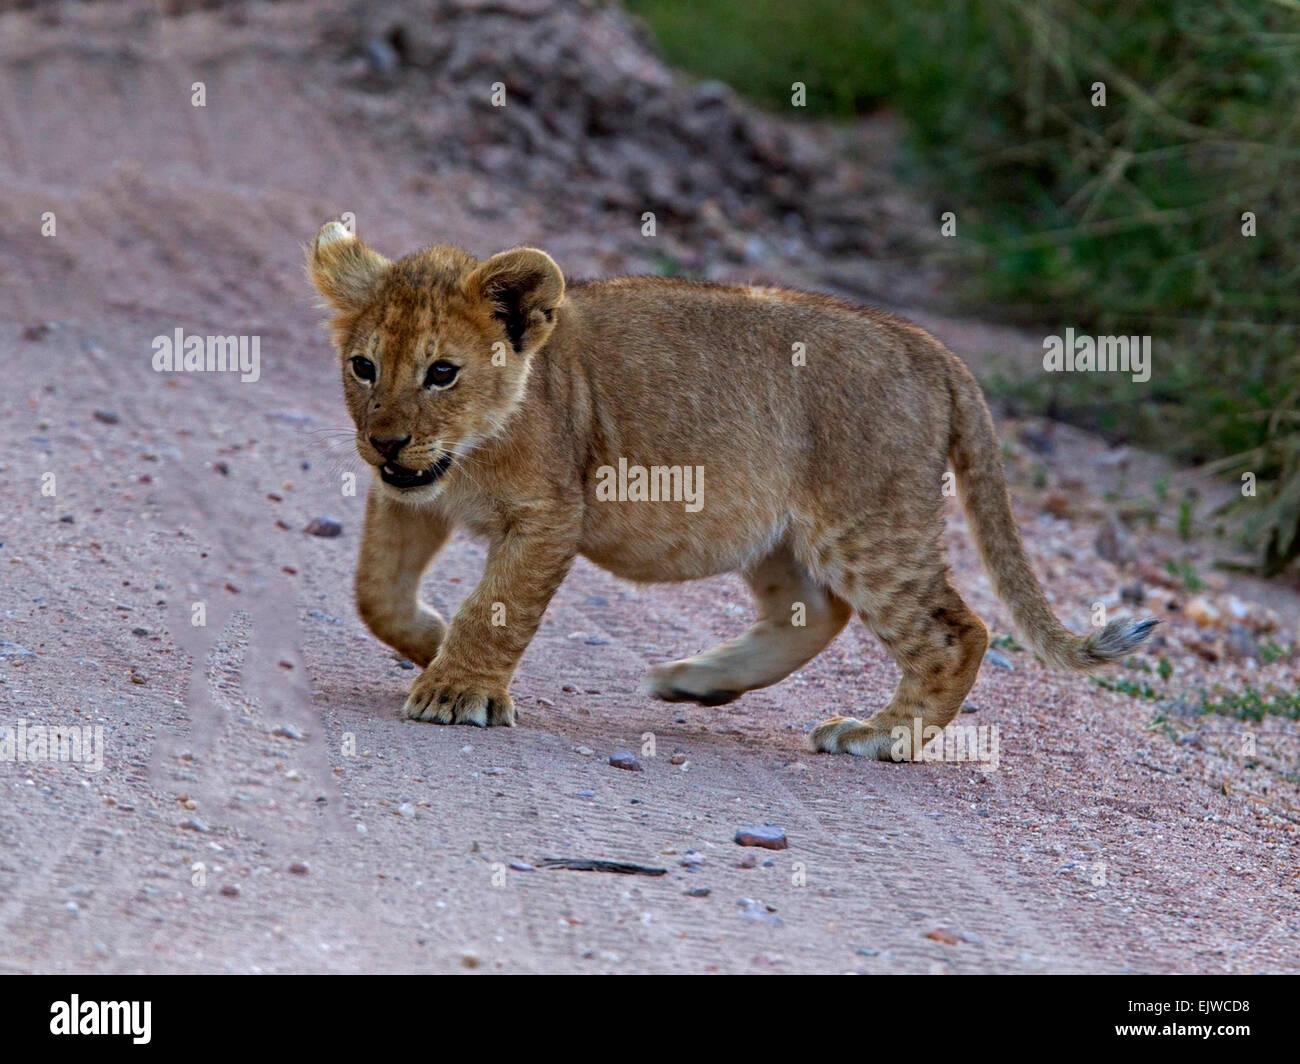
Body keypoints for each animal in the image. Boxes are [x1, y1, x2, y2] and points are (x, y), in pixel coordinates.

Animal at [306, 221, 1155, 759]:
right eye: (364, 367)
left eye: (443, 372)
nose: (384, 441)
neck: (468, 452)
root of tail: (930, 348)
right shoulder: (409, 496)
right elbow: (374, 591)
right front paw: (429, 639)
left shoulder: (551, 513)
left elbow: (498, 608)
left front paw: (456, 692)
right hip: (772, 526)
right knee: (814, 610)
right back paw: (696, 681)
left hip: (865, 522)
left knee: (956, 631)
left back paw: (877, 737)